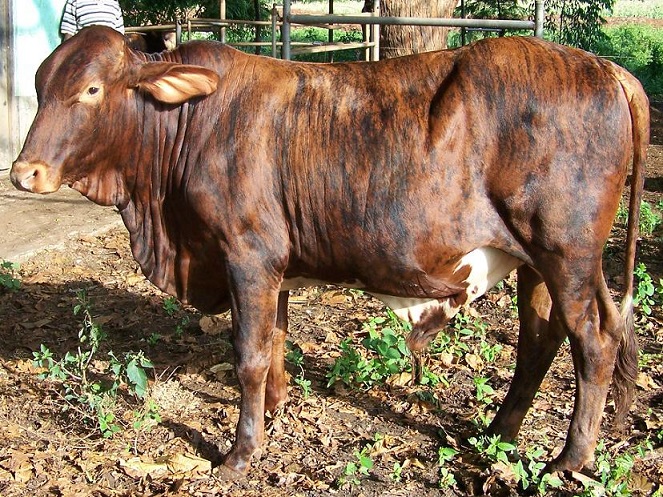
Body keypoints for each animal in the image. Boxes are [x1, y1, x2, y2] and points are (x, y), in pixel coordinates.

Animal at [10, 26, 649, 479]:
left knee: (593, 342)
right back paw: (497, 433)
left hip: (566, 254)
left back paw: (569, 459)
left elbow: (248, 354)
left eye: (91, 89)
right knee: (539, 341)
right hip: (536, 263)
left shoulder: (247, 254)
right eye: (41, 88)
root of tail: (607, 68)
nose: (24, 172)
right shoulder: (274, 266)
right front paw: (274, 409)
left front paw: (240, 453)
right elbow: (274, 341)